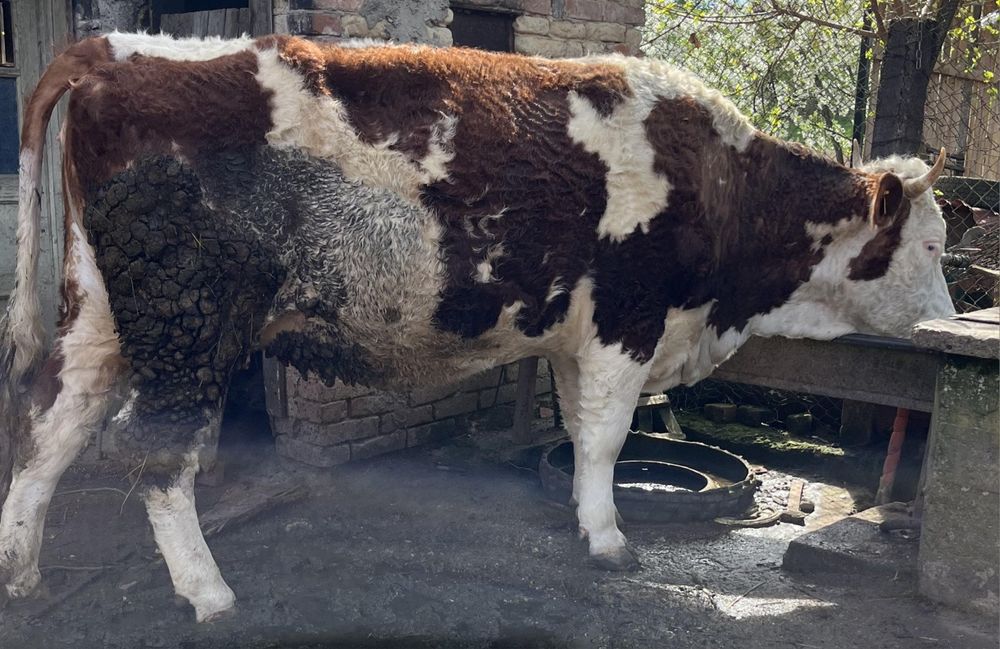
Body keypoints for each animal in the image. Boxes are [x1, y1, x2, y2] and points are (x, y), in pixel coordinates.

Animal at [0, 32, 954, 622]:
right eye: (934, 243)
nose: (951, 321)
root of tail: (113, 48)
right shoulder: (628, 317)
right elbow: (608, 435)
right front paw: (609, 539)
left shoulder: (581, 332)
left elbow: (579, 429)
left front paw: (582, 515)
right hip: (189, 320)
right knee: (155, 448)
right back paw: (207, 591)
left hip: (105, 311)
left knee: (51, 421)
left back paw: (21, 569)